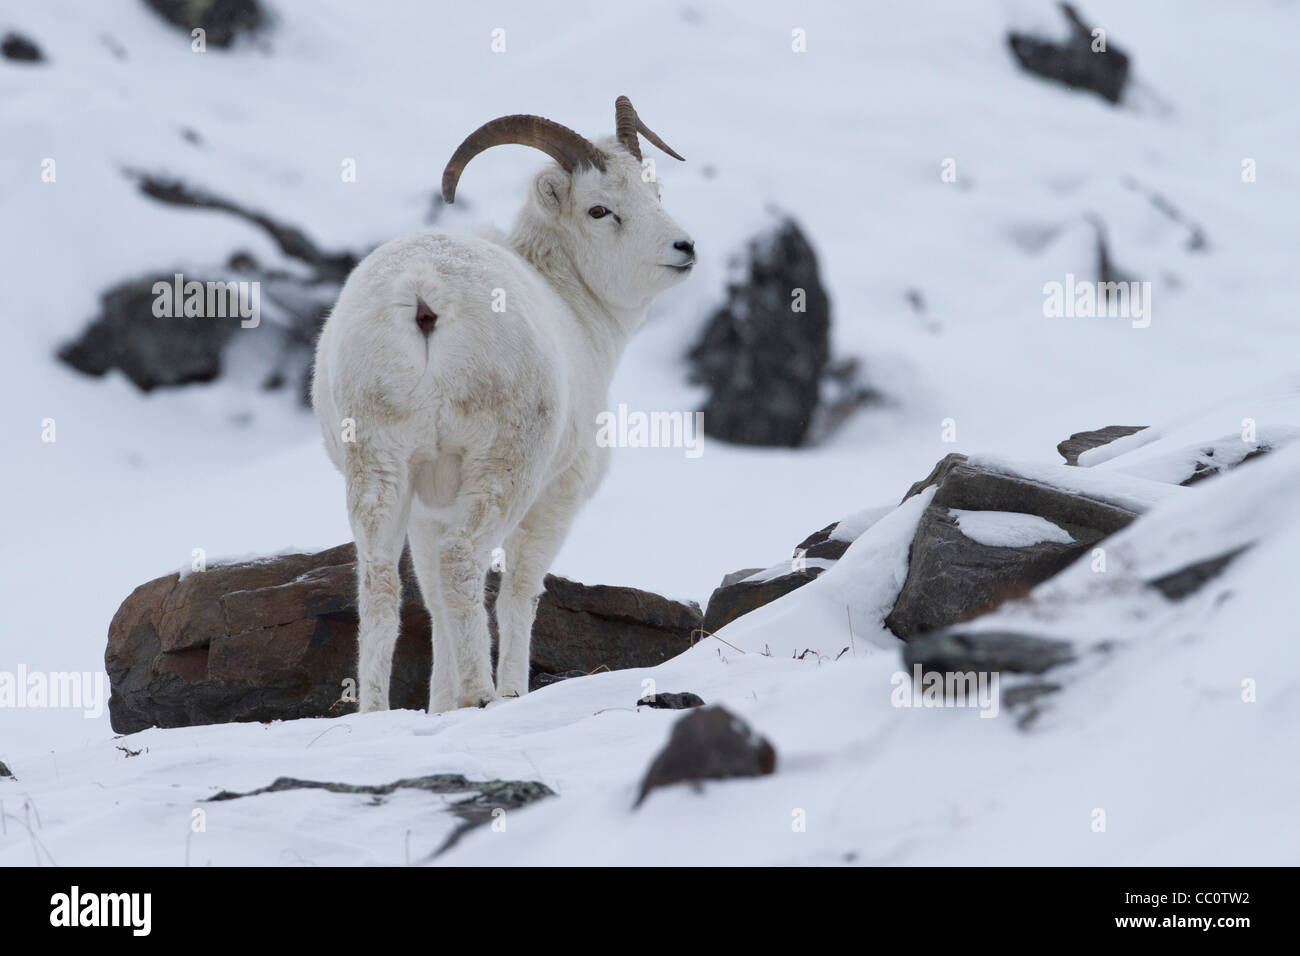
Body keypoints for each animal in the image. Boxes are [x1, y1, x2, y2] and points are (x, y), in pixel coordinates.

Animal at [311, 97, 696, 713]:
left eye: (654, 194)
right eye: (600, 210)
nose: (684, 249)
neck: (572, 305)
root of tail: (425, 292)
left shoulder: (428, 510)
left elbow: (433, 604)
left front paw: (439, 704)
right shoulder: (556, 497)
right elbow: (520, 592)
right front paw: (508, 691)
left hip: (378, 467)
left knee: (380, 584)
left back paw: (376, 709)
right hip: (503, 466)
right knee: (463, 562)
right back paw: (481, 695)